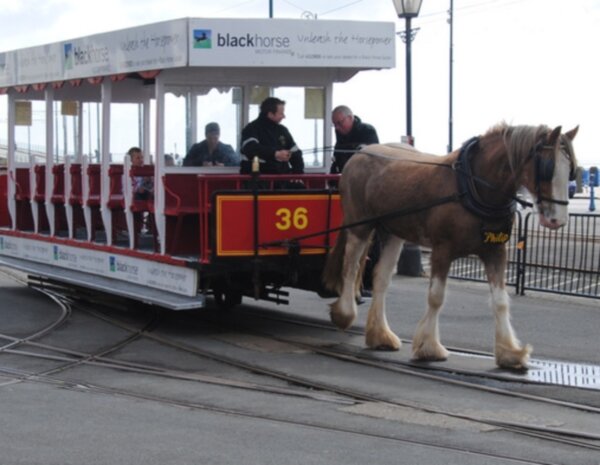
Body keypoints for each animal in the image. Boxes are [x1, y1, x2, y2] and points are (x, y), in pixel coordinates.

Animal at [322, 121, 580, 368]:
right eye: (547, 167)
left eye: (571, 171)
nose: (558, 220)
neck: (474, 186)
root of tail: (360, 153)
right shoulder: (442, 250)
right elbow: (436, 297)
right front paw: (429, 347)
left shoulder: (495, 251)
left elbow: (500, 301)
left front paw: (509, 352)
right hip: (360, 226)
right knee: (350, 268)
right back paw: (345, 314)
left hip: (394, 233)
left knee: (381, 278)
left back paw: (380, 335)